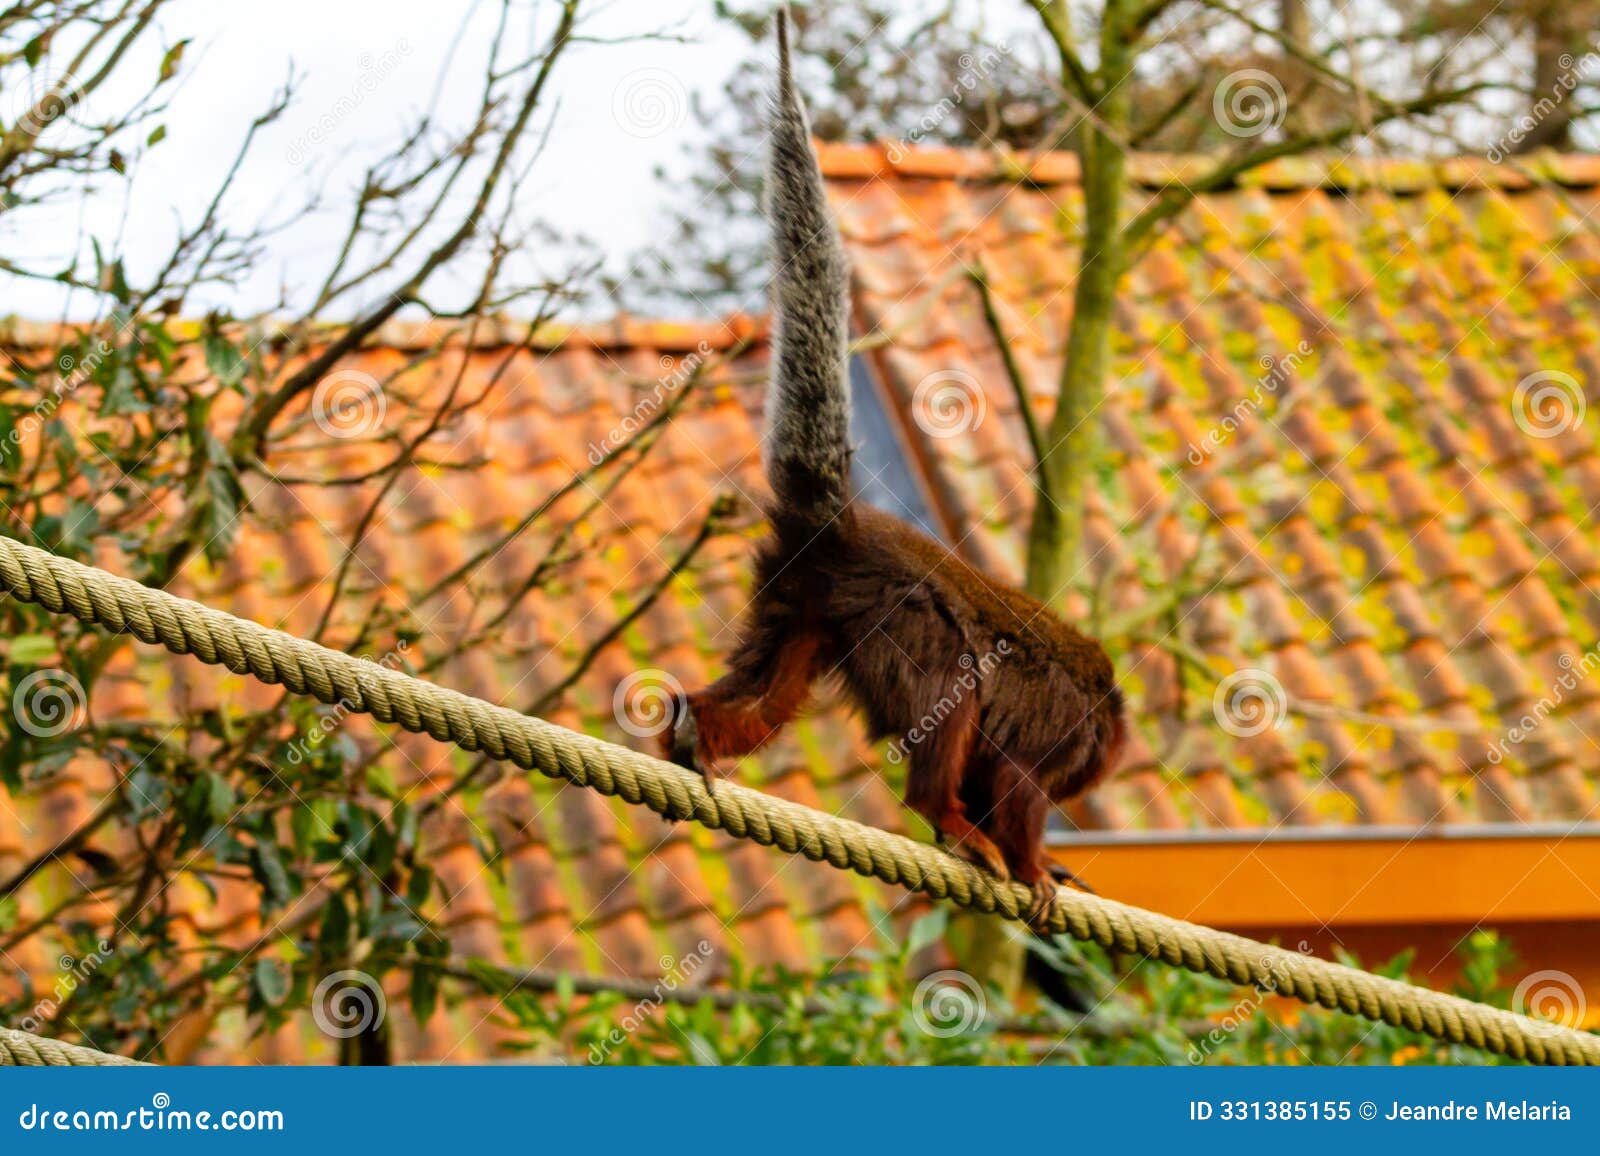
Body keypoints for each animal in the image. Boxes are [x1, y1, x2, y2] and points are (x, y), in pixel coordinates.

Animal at [662, 8, 1126, 927]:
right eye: (1084, 771)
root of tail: (847, 527)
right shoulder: (1064, 733)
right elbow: (1014, 774)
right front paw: (1032, 858)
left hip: (801, 592)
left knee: (775, 684)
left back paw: (700, 733)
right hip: (900, 610)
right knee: (955, 674)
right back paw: (940, 813)